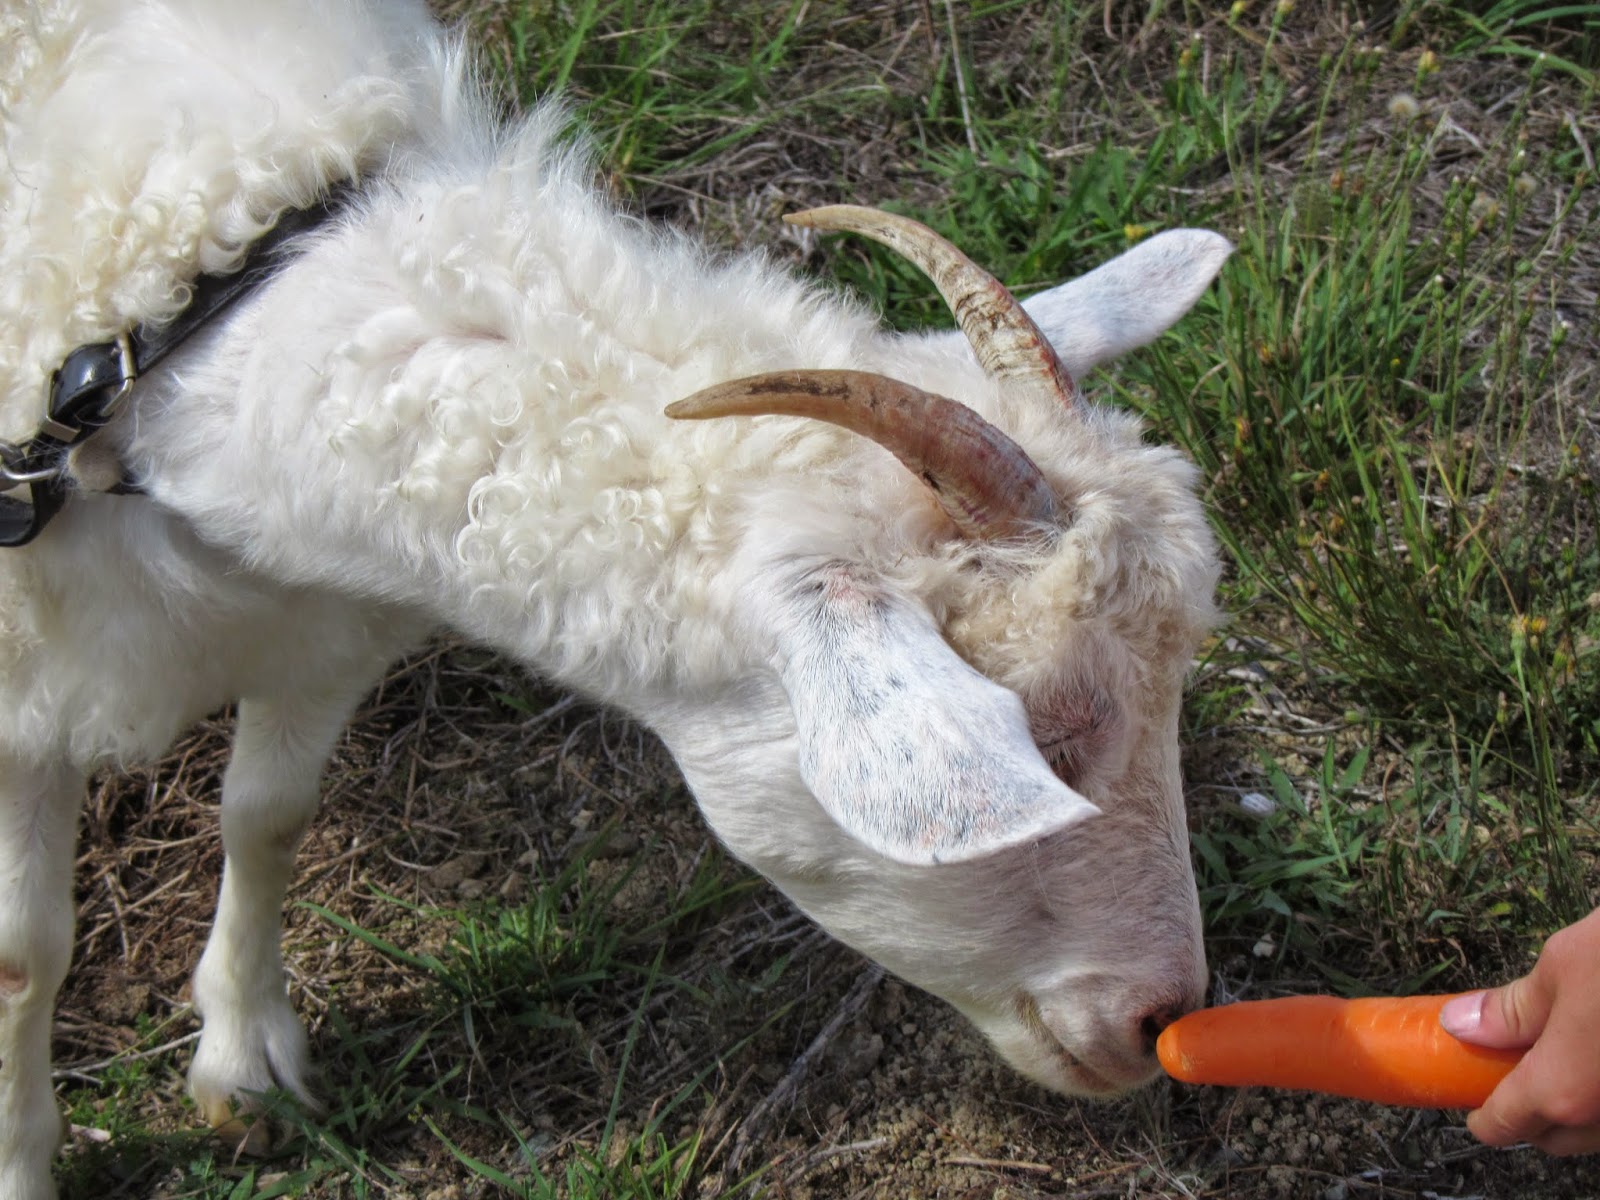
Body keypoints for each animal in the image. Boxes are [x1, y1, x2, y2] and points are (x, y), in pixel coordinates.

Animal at [0, 1, 1230, 1194]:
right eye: (1051, 739)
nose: (1160, 1017)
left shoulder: (314, 631)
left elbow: (266, 816)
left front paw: (245, 1057)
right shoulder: (30, 686)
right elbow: (25, 951)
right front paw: (27, 1157)